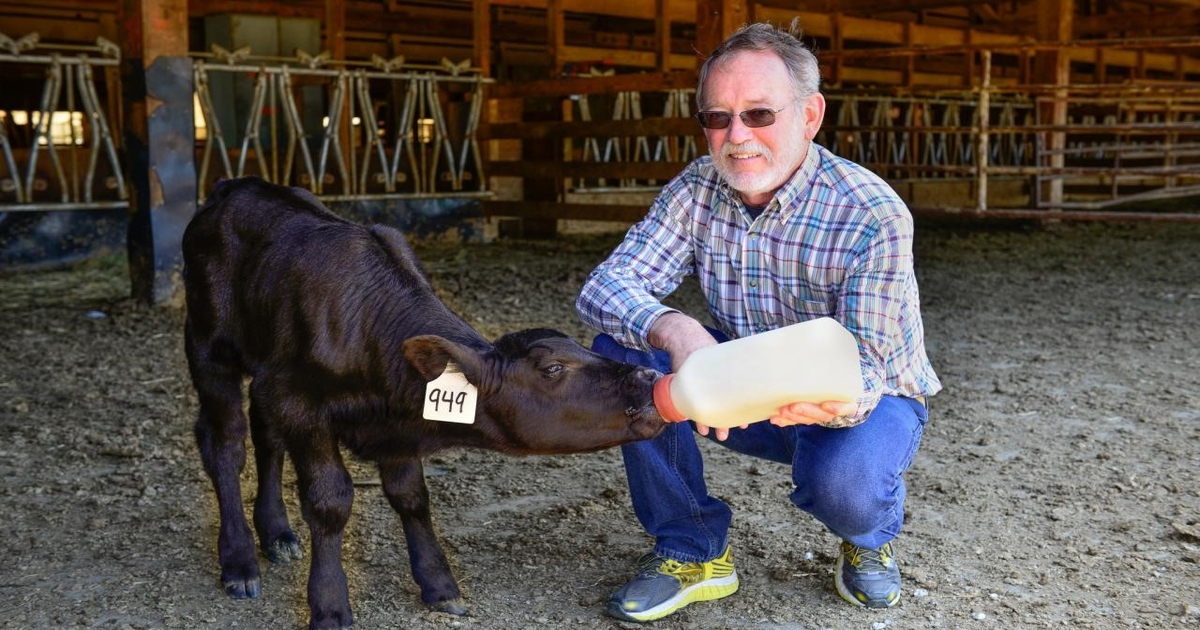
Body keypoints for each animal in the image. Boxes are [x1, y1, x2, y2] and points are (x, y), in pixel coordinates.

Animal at [181, 176, 666, 630]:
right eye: (552, 369)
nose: (647, 376)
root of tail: (235, 187)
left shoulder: (394, 421)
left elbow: (411, 495)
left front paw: (439, 584)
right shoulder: (300, 402)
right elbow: (330, 501)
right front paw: (330, 605)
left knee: (266, 435)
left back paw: (277, 533)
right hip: (207, 348)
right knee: (225, 444)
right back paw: (239, 561)